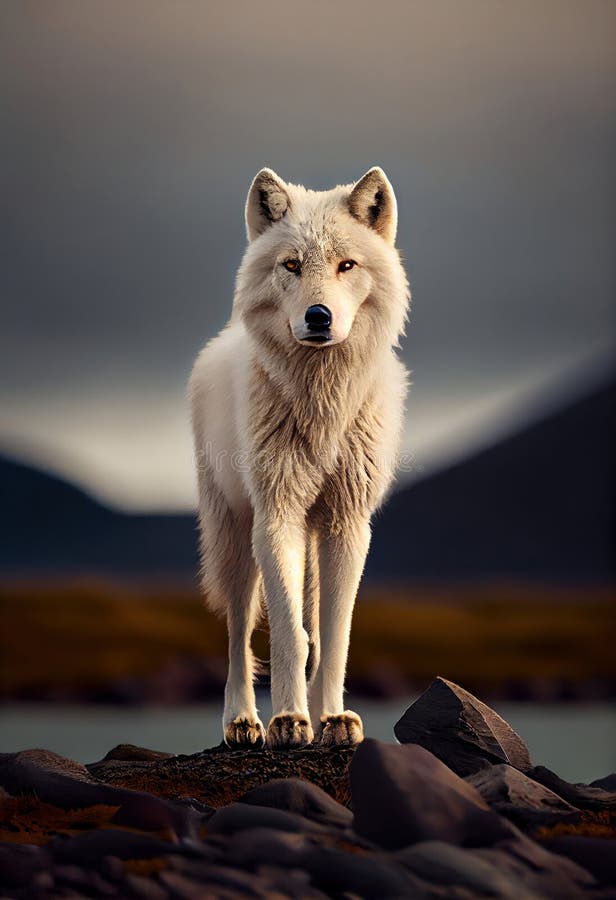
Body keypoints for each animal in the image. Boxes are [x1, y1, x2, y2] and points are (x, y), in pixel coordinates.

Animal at [189, 166, 410, 749]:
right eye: (291, 265)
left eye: (346, 265)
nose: (318, 316)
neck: (321, 404)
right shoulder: (277, 515)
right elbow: (290, 633)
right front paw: (290, 719)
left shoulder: (347, 524)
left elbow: (333, 634)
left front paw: (332, 718)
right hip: (235, 540)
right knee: (239, 634)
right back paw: (243, 721)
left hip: (311, 535)